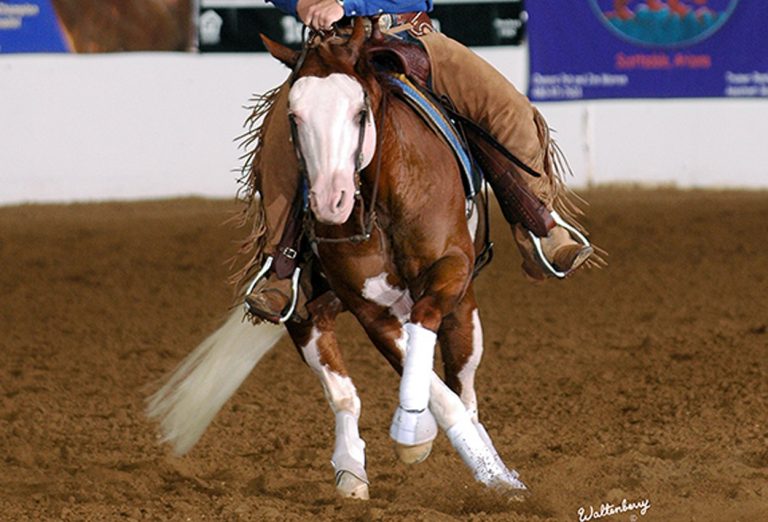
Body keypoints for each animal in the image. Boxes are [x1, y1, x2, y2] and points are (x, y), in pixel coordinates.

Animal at [147, 19, 527, 501]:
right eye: (294, 117)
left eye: (360, 112)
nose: (330, 201)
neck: (382, 205)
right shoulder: (368, 307)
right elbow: (408, 380)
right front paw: (412, 440)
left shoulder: (449, 270)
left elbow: (429, 338)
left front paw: (433, 441)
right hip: (308, 312)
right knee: (347, 392)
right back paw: (351, 472)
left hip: (463, 306)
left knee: (465, 382)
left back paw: (494, 467)